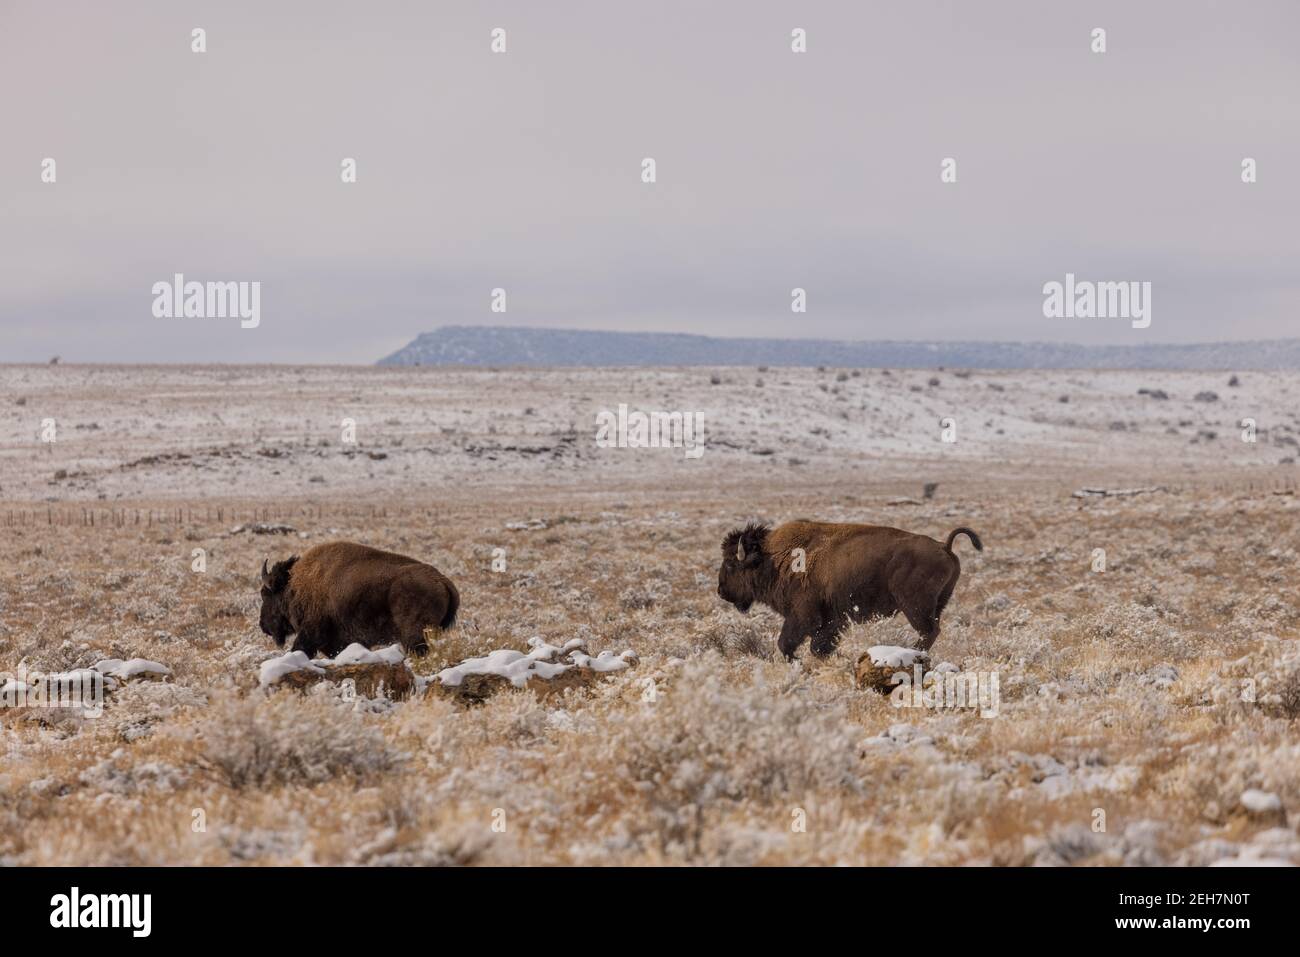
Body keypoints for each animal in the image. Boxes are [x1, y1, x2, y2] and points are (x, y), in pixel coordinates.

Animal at [259, 541, 459, 657]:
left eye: (265, 594)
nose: (263, 626)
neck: (294, 586)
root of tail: (441, 579)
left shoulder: (311, 634)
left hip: (414, 635)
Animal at [717, 520, 982, 659]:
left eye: (730, 564)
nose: (721, 591)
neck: (773, 558)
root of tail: (944, 546)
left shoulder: (803, 616)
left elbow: (787, 643)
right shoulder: (832, 620)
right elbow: (819, 646)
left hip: (914, 607)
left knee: (929, 631)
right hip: (937, 604)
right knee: (933, 630)